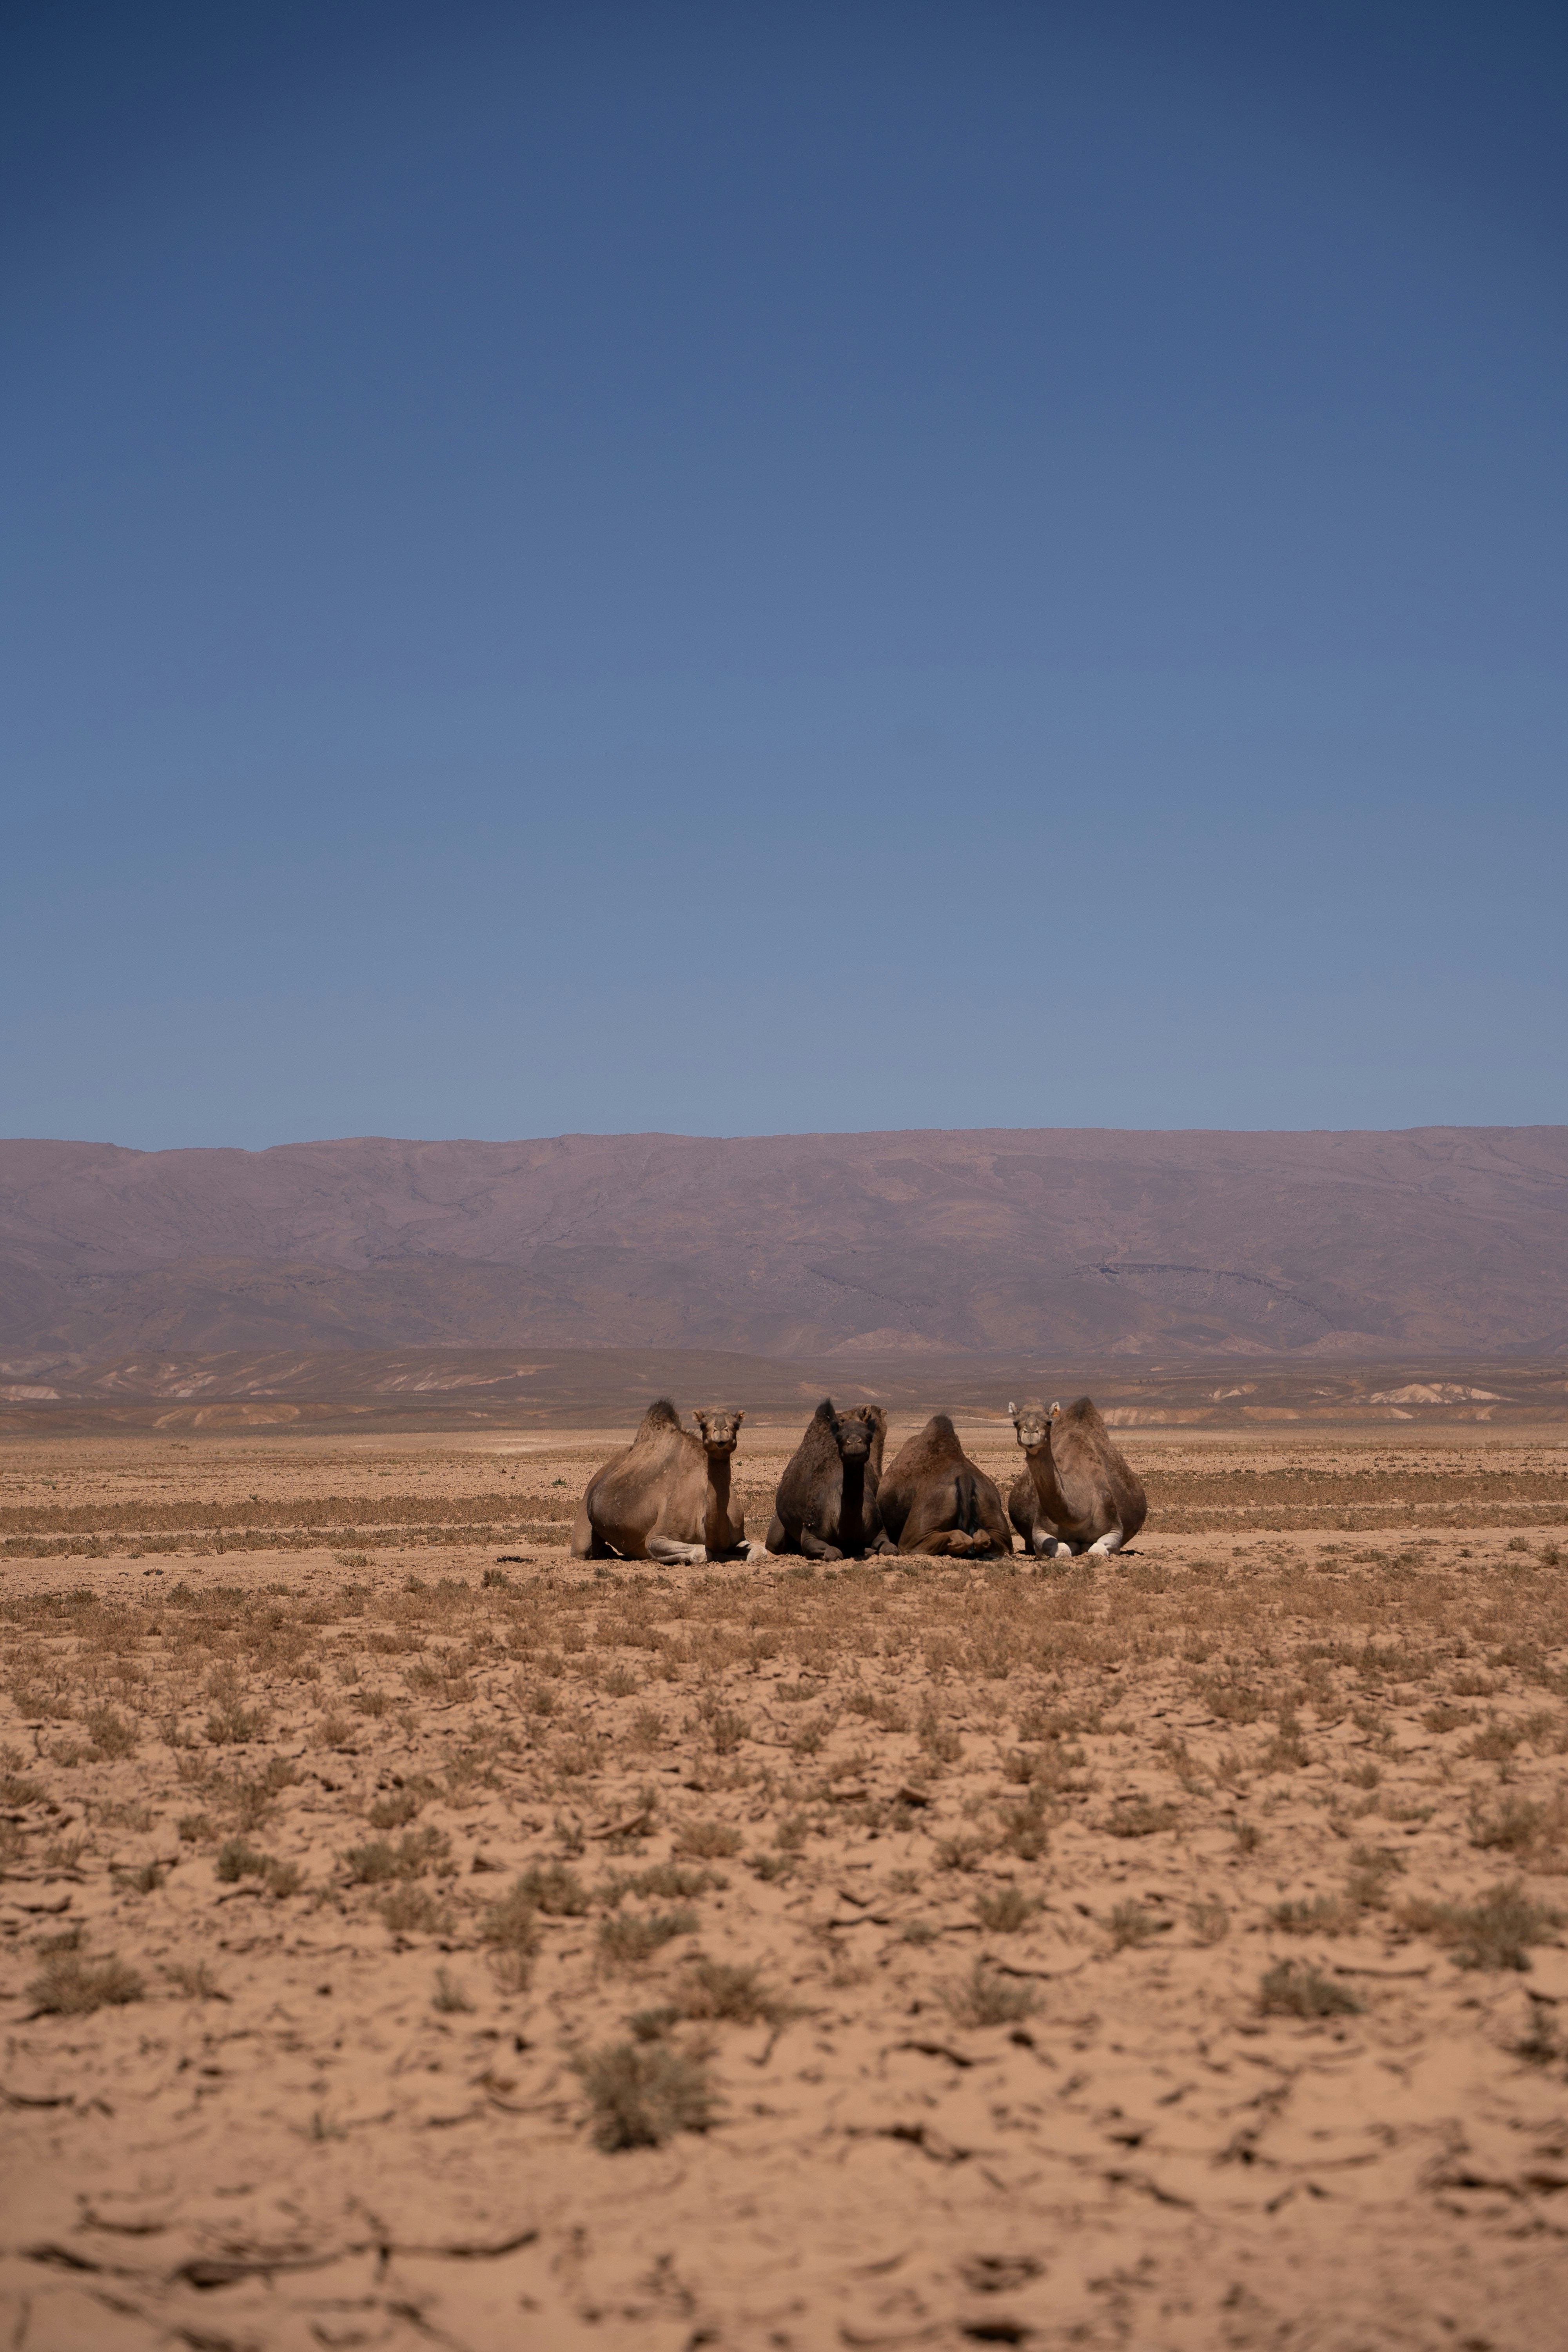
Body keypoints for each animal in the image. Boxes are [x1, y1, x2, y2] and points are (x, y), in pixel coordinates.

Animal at [571, 1398, 765, 1565]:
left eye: (737, 1425)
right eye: (703, 1425)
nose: (720, 1432)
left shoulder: (738, 1536)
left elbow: (760, 1551)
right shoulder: (657, 1537)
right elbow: (701, 1552)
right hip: (586, 1509)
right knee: (583, 1549)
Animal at [1007, 1396, 1147, 1557]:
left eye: (1049, 1422)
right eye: (1016, 1423)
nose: (1031, 1434)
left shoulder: (1114, 1528)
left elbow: (1097, 1549)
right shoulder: (1040, 1530)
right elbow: (1061, 1550)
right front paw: (1073, 1546)